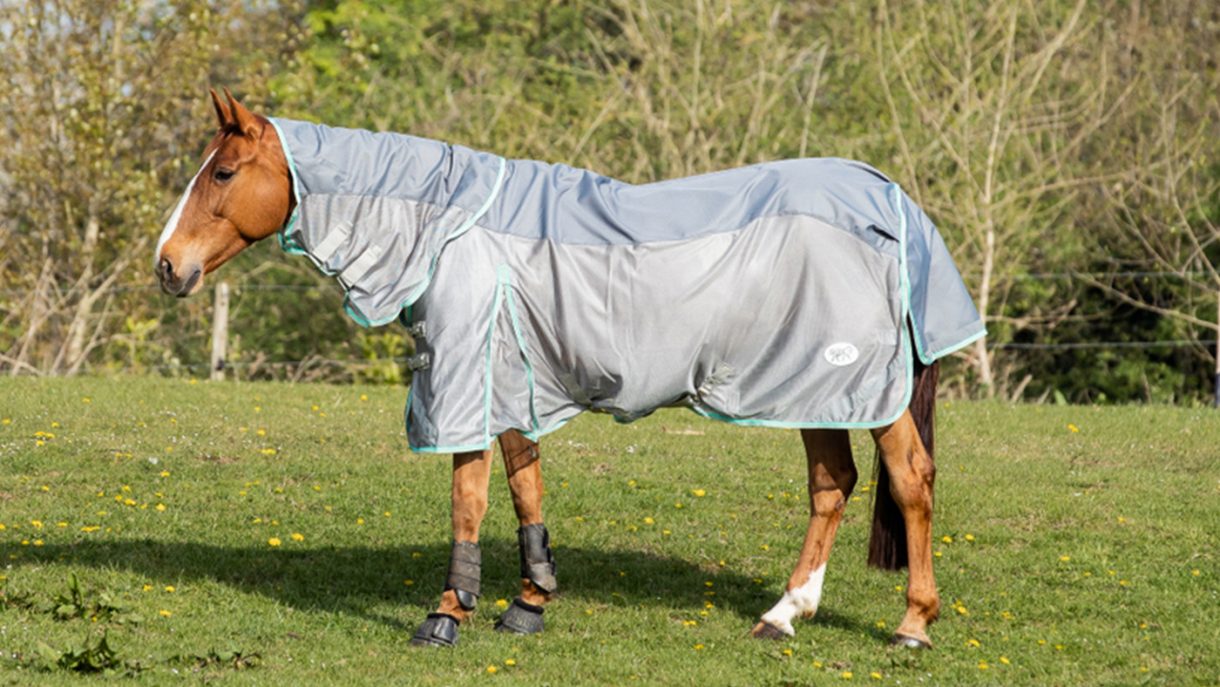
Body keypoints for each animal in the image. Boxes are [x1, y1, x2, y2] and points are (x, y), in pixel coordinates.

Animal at [156, 89, 984, 649]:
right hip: (813, 390)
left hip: (861, 389)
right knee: (832, 484)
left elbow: (468, 497)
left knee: (909, 479)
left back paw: (912, 623)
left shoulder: (465, 377)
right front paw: (528, 601)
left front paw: (445, 614)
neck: (450, 229)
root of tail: (890, 200)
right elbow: (524, 489)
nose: (167, 266)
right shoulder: (512, 378)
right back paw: (783, 614)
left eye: (223, 172)